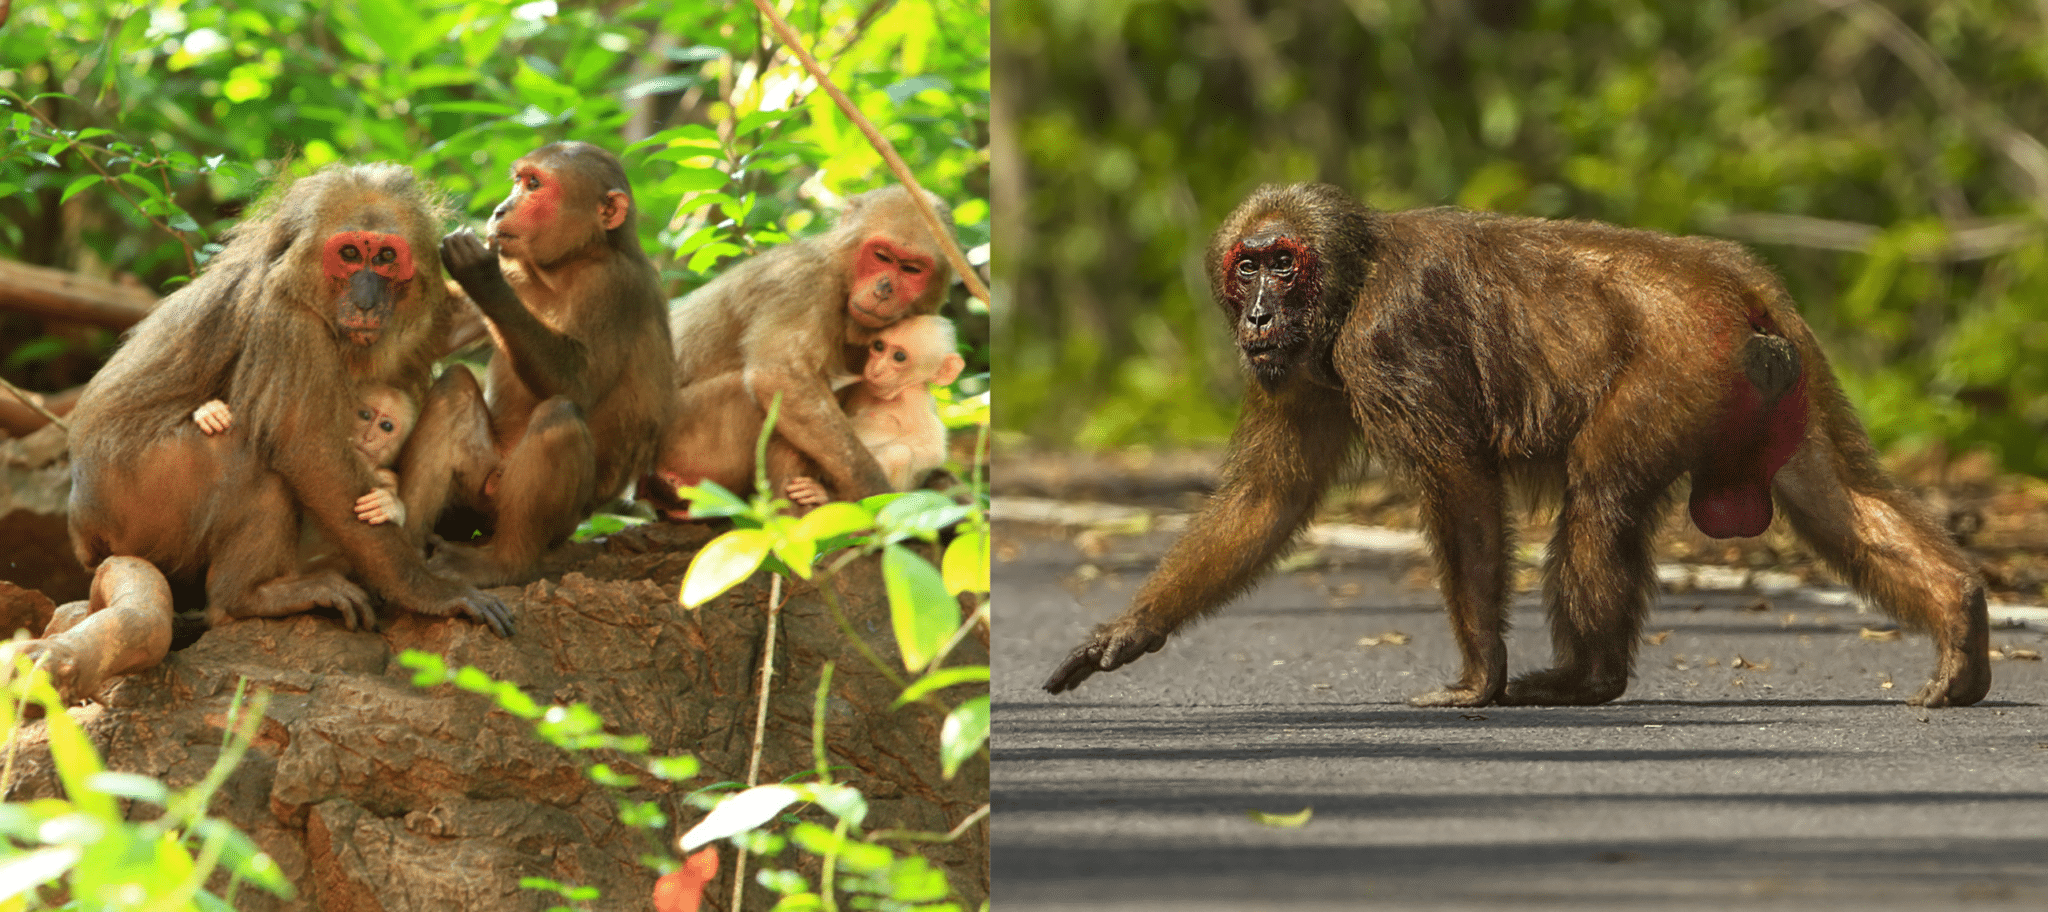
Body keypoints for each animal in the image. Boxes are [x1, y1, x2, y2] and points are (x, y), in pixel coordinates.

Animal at [32, 164, 511, 703]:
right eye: (350, 254)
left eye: (386, 257)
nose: (367, 299)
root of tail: (83, 529)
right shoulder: (288, 324)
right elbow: (308, 451)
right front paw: (428, 591)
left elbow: (441, 327)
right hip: (137, 499)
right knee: (248, 453)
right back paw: (245, 598)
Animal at [402, 141, 674, 587]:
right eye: (519, 181)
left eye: (533, 185)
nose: (499, 210)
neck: (564, 268)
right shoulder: (516, 269)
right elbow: (432, 334)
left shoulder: (613, 286)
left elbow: (577, 384)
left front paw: (480, 275)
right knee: (454, 391)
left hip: (541, 514)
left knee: (559, 417)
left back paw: (505, 563)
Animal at [784, 314, 964, 507]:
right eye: (879, 346)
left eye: (899, 356)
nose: (877, 370)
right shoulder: (863, 383)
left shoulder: (915, 401)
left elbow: (932, 451)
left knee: (899, 454)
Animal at [1043, 182, 1990, 709]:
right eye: (1247, 267)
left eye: (1283, 264)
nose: (1261, 313)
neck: (1346, 287)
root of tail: (1733, 278)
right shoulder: (1299, 373)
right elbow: (1264, 501)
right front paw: (1133, 629)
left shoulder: (1383, 341)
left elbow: (1460, 486)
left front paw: (1480, 677)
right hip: (1793, 371)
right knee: (1833, 494)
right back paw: (1961, 615)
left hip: (1684, 361)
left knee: (1601, 498)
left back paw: (1587, 680)